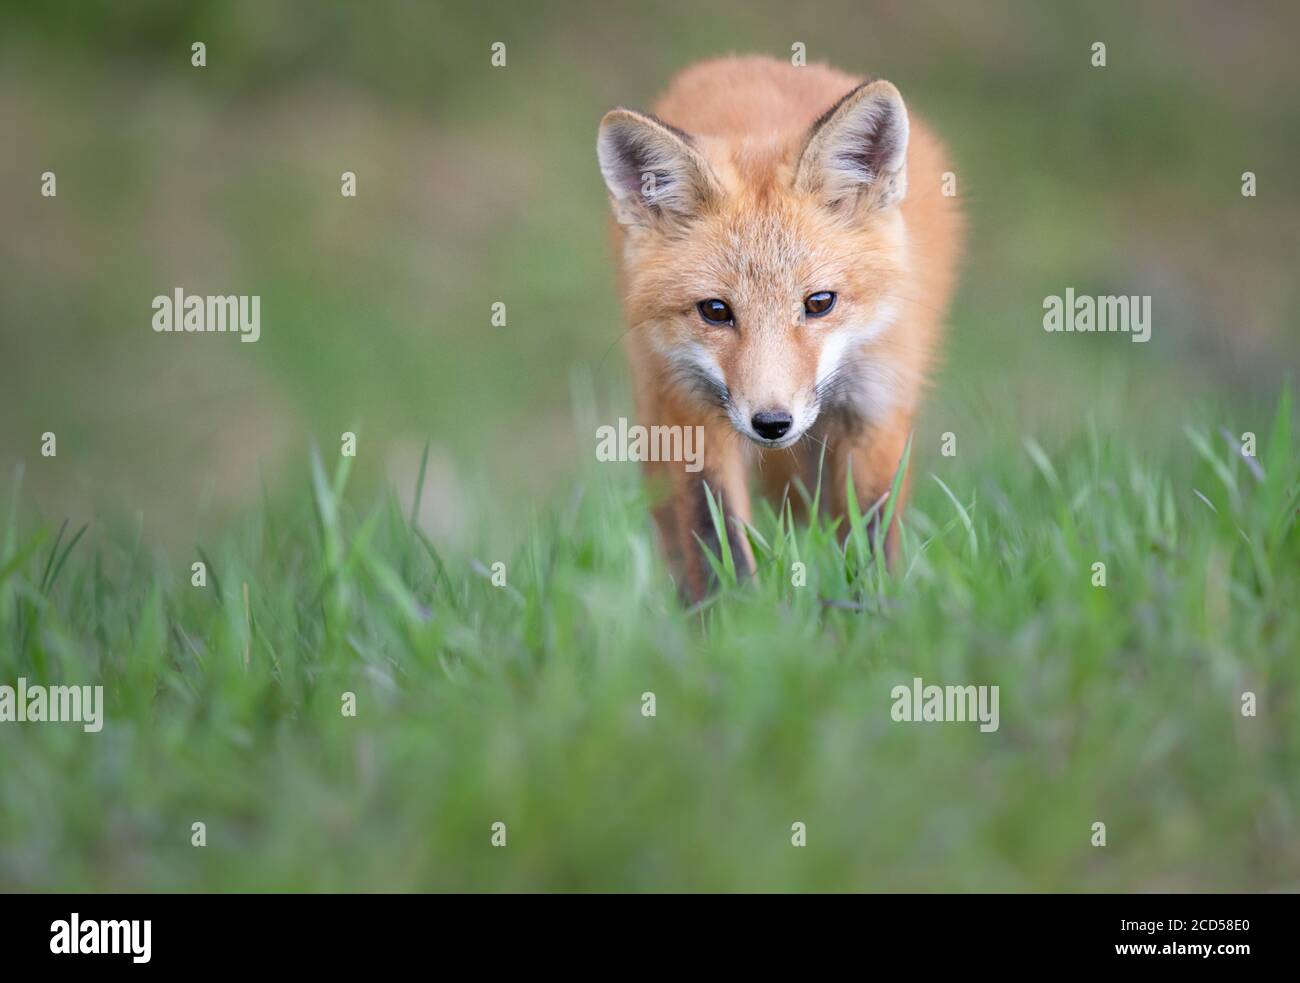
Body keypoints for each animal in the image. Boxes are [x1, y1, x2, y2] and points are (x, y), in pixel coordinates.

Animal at [596, 55, 962, 602]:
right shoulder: (691, 419)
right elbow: (716, 535)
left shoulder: (874, 409)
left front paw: (871, 612)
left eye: (819, 303)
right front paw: (737, 616)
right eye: (715, 311)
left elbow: (870, 535)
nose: (771, 424)